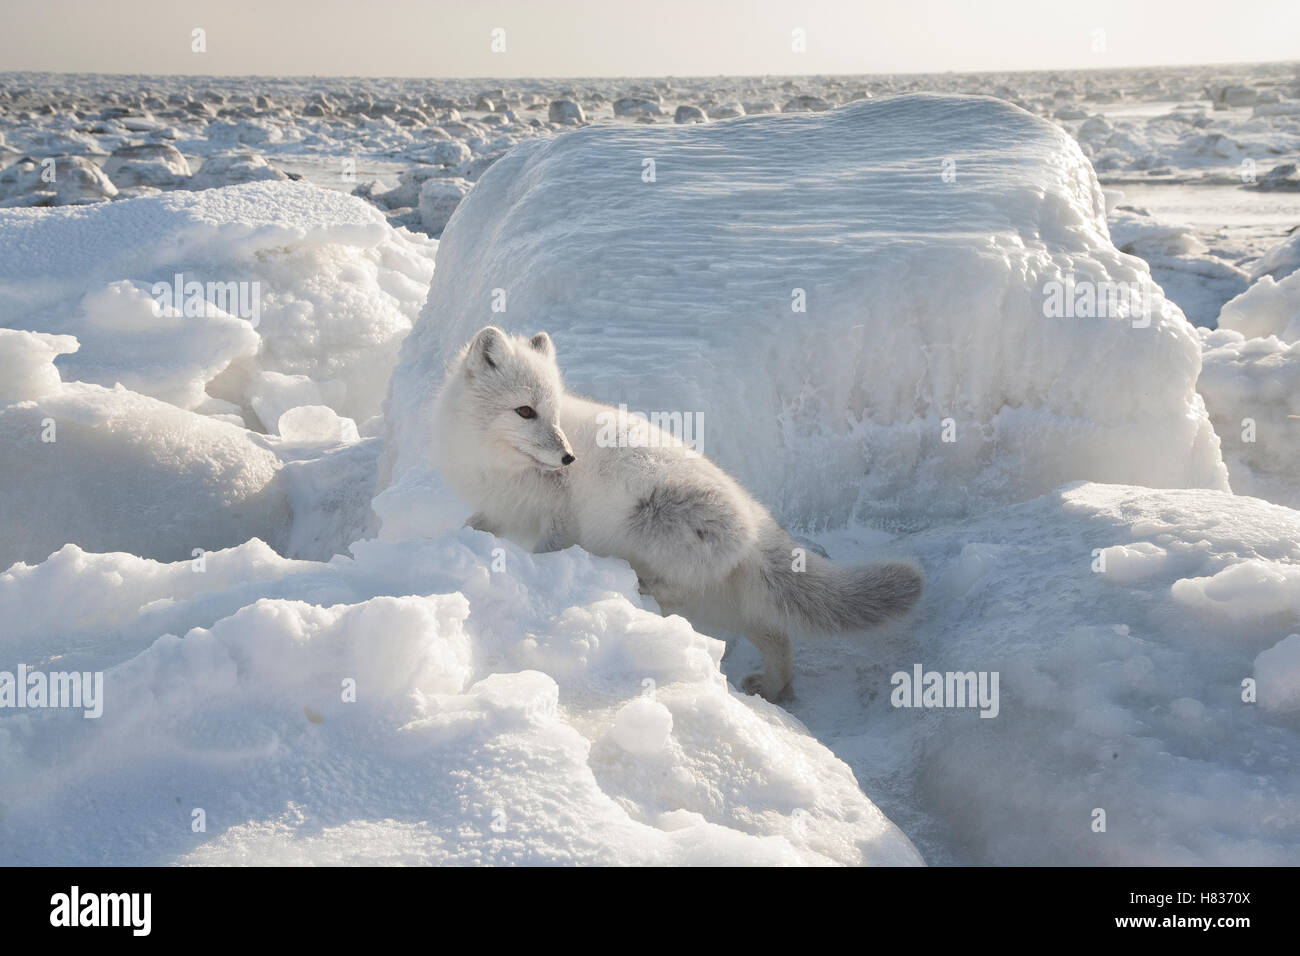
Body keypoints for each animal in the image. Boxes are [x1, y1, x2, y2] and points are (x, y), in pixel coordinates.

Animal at [429, 326, 924, 701]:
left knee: (680, 590)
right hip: (721, 604)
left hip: (654, 524)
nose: (569, 458)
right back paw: (775, 689)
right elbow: (476, 525)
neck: (496, 462)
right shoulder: (502, 508)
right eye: (525, 411)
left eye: (553, 413)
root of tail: (757, 525)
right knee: (775, 635)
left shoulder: (560, 519)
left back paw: (639, 586)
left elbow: (547, 553)